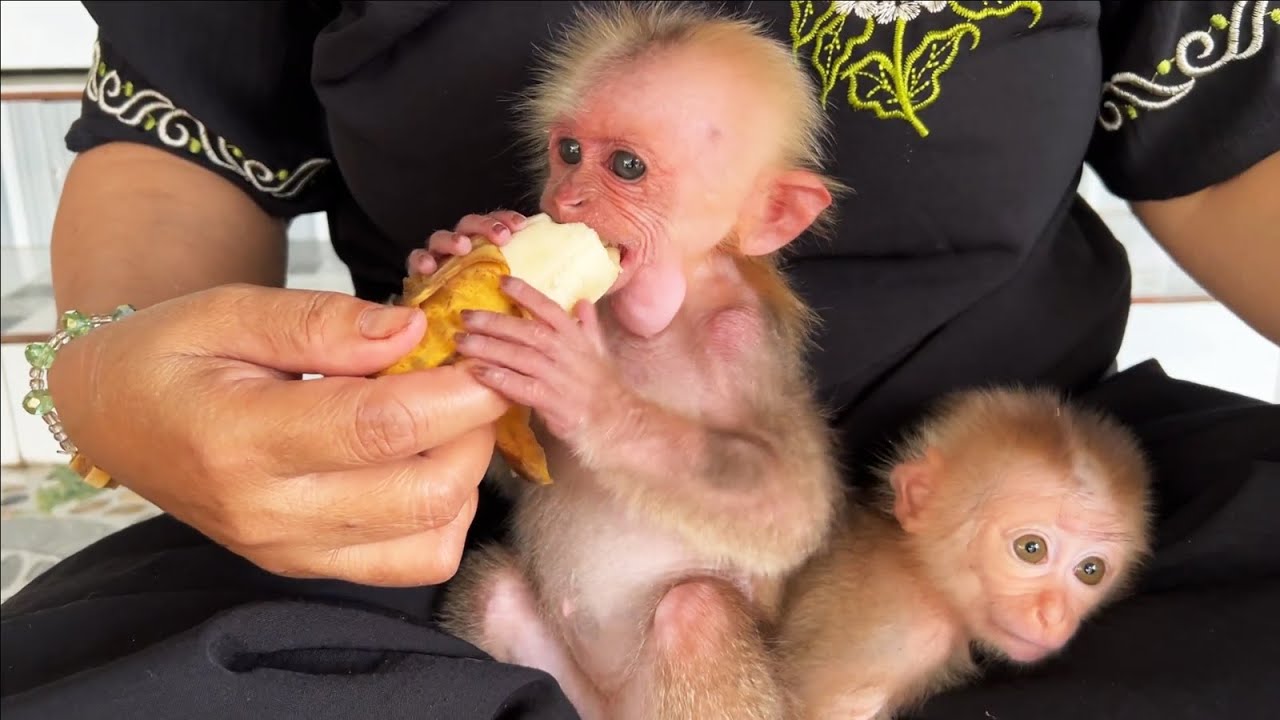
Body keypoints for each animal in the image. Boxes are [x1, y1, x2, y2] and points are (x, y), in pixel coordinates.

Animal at [418, 3, 849, 719]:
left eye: (625, 166)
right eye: (568, 153)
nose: (567, 202)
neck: (653, 320)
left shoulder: (745, 343)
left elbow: (791, 510)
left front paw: (592, 399)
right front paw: (445, 251)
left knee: (699, 614)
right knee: (492, 588)